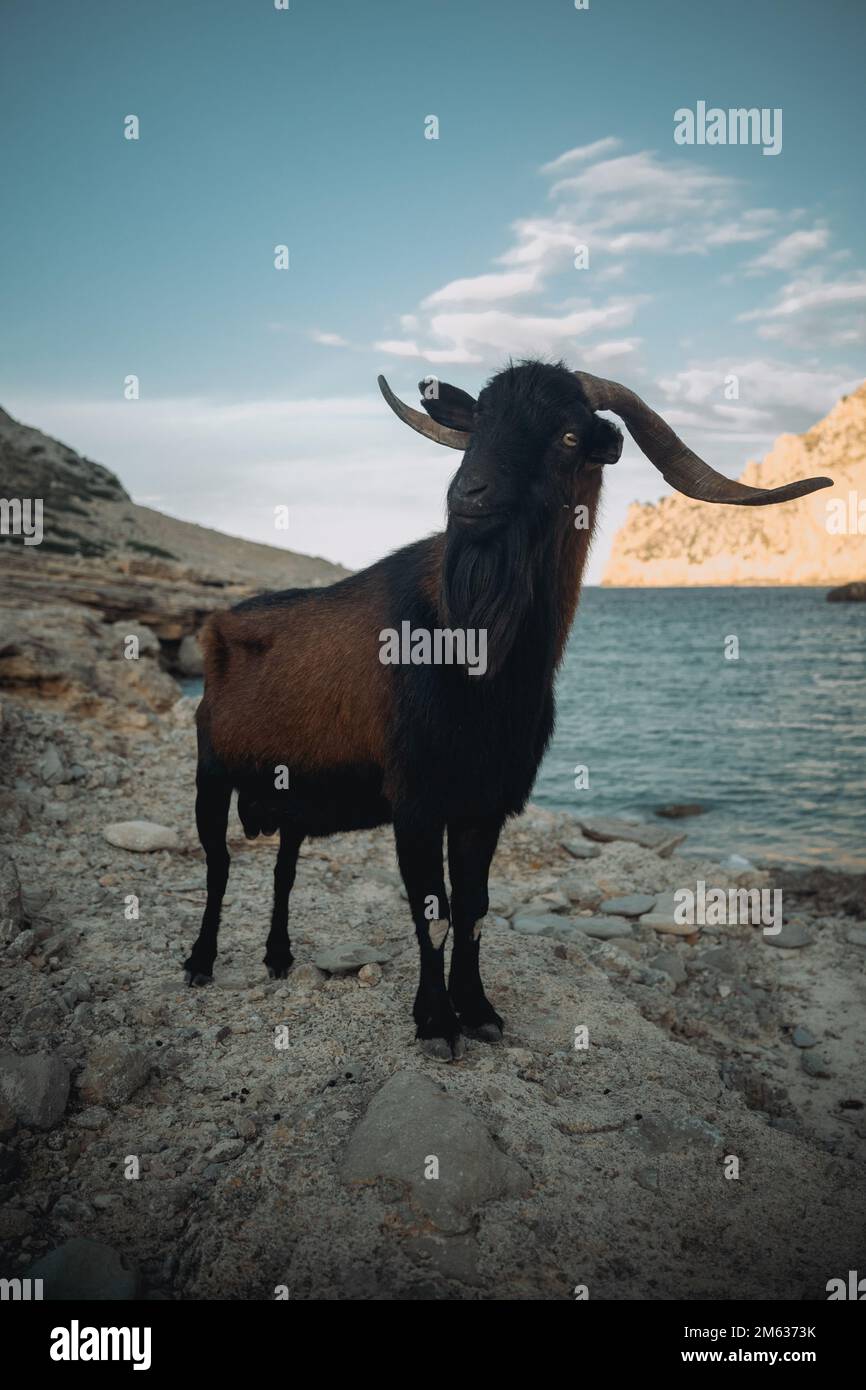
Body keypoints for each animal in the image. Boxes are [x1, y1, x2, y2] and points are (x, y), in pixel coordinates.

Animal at [184, 361, 831, 1058]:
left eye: (568, 436)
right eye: (481, 422)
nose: (468, 495)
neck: (472, 650)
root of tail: (218, 624)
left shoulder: (484, 804)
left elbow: (473, 907)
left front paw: (479, 1010)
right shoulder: (416, 802)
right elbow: (433, 911)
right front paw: (436, 1024)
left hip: (293, 800)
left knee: (283, 868)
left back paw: (278, 957)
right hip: (210, 774)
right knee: (219, 865)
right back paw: (199, 963)